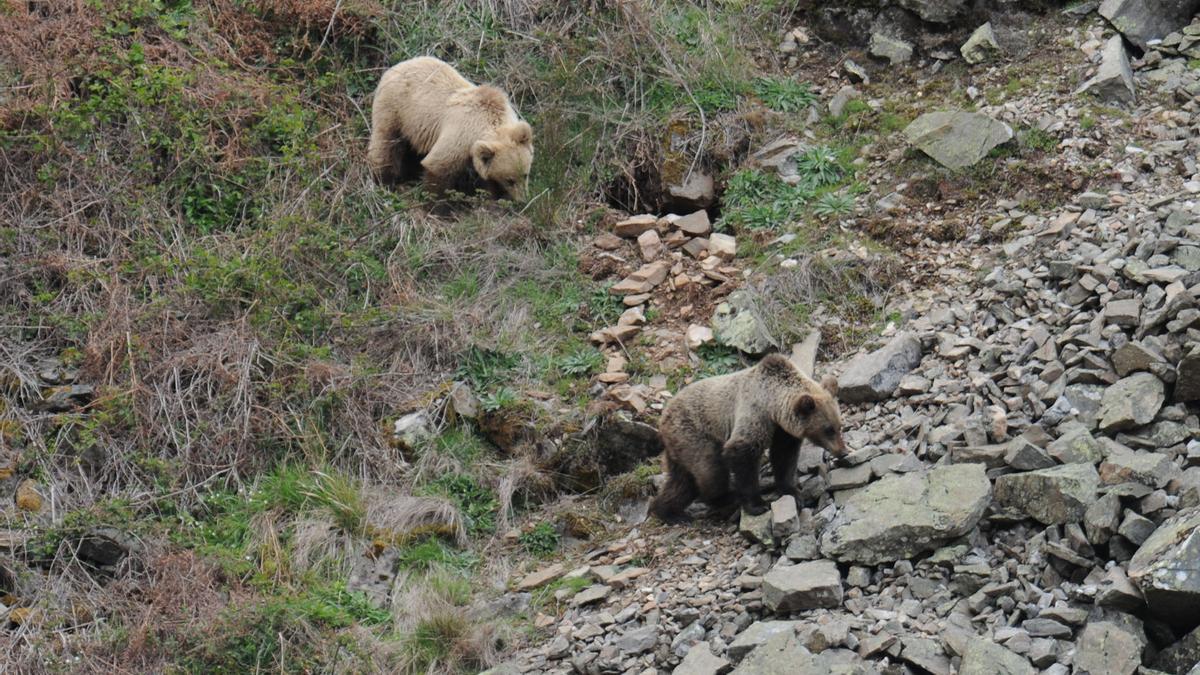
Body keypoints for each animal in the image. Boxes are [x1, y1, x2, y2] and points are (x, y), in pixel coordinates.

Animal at [367, 56, 533, 202]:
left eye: (525, 174)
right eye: (509, 180)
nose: (522, 200)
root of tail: (393, 67)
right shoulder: (461, 136)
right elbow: (438, 167)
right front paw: (439, 206)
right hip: (395, 110)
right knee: (386, 144)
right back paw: (385, 181)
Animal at [649, 353, 849, 524]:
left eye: (839, 425)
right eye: (828, 429)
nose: (843, 451)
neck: (773, 406)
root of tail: (663, 419)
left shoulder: (783, 431)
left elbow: (784, 457)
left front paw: (793, 492)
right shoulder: (755, 413)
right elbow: (743, 453)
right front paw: (757, 504)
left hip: (680, 446)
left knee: (682, 481)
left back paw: (669, 512)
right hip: (694, 433)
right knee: (710, 468)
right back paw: (724, 497)